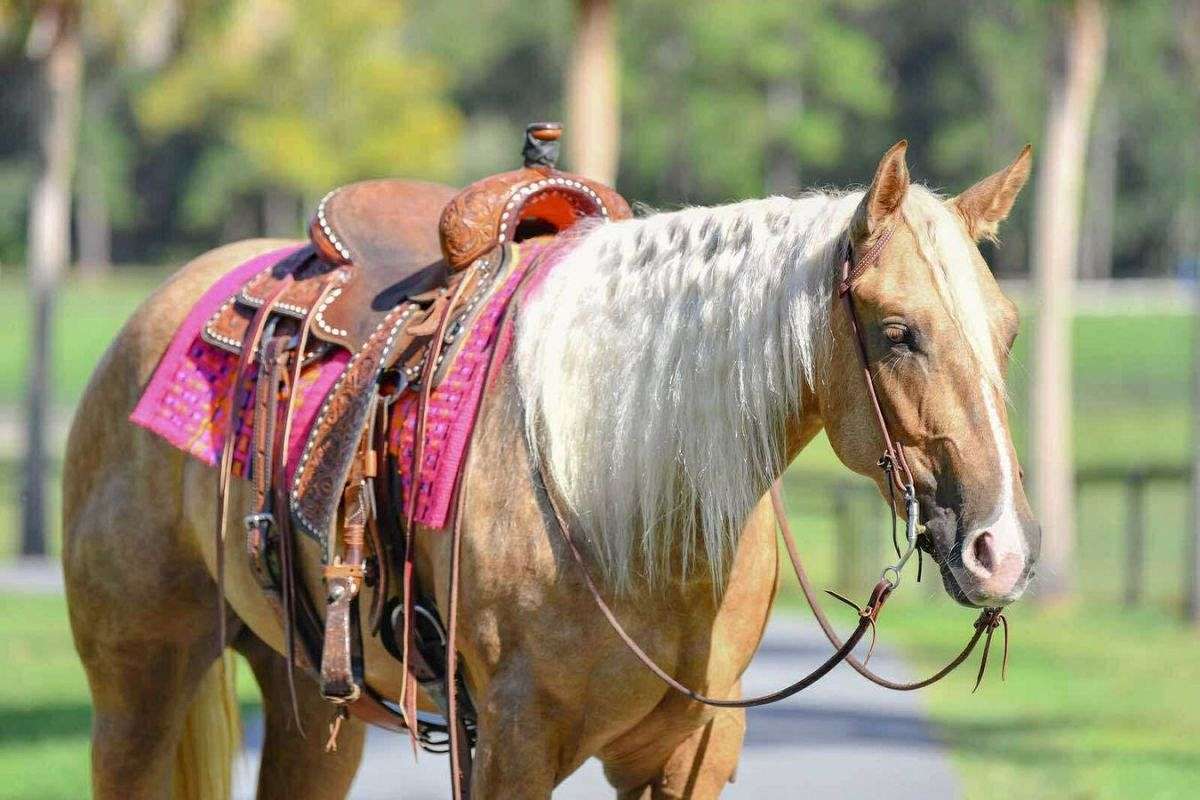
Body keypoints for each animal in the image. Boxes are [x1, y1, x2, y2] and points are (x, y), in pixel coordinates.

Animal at [62, 140, 1039, 799]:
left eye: (1008, 332)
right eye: (898, 333)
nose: (1004, 552)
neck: (628, 503)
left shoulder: (689, 755)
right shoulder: (511, 747)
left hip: (310, 705)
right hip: (138, 687)